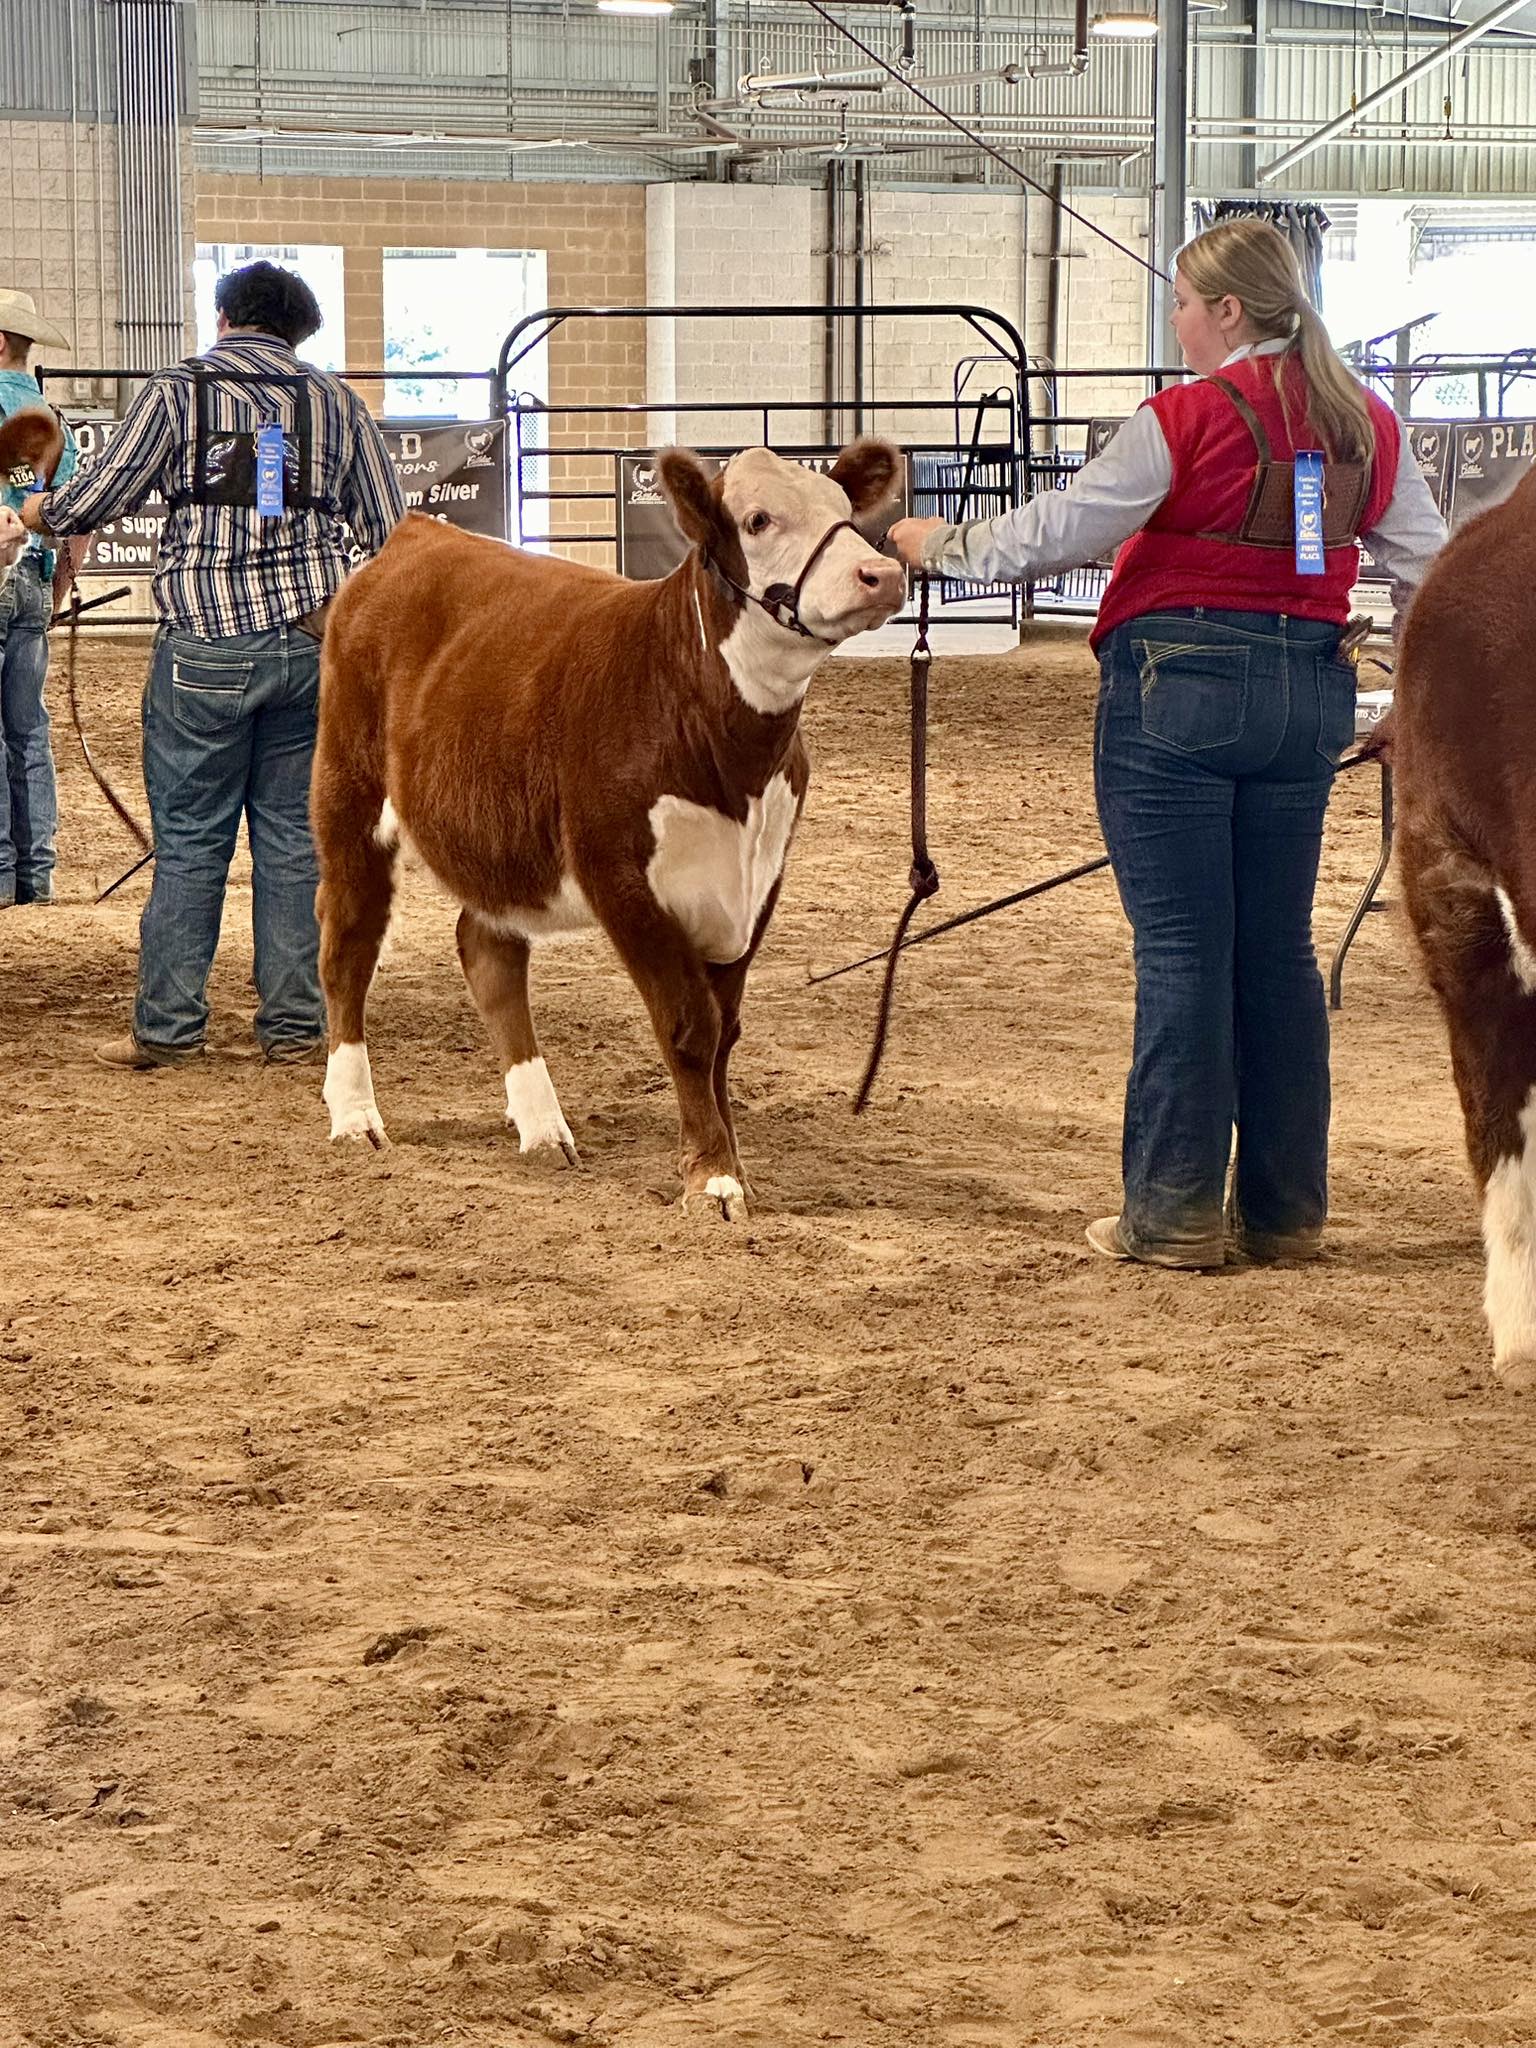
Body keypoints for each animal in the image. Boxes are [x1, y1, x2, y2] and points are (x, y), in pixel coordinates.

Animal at [312, 440, 905, 1219]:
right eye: (758, 520)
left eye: (844, 512)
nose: (883, 574)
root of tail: (417, 534)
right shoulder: (619, 875)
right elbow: (690, 1027)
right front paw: (712, 1177)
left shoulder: (757, 880)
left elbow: (725, 1033)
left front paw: (735, 1167)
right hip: (349, 795)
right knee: (348, 944)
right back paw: (355, 1117)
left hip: (495, 831)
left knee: (488, 952)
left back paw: (541, 1127)